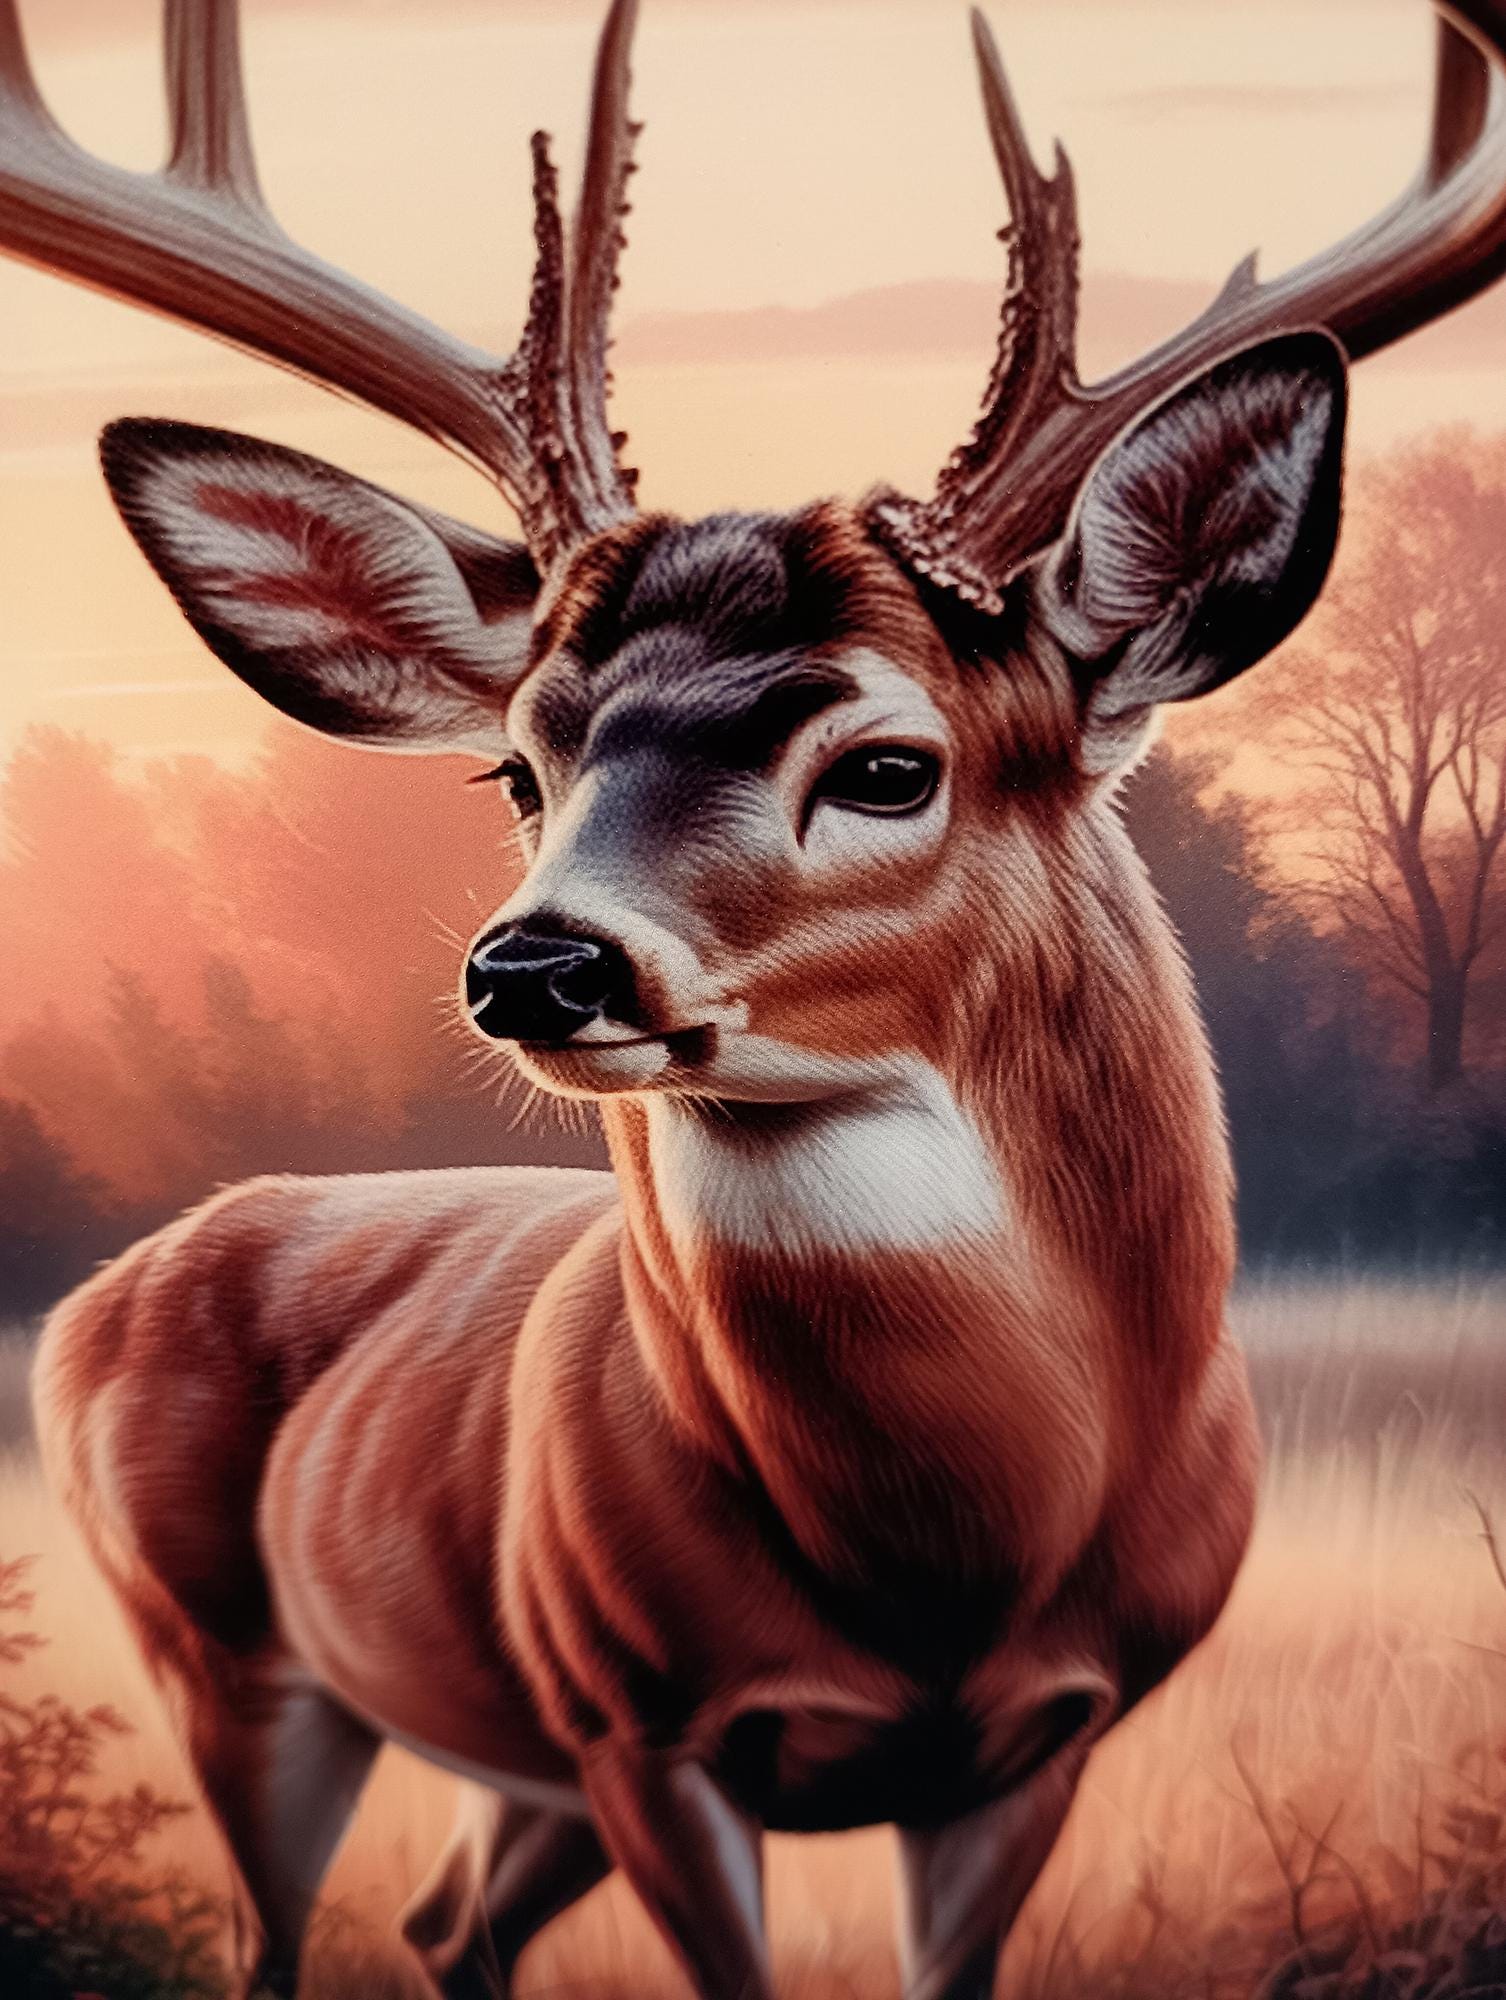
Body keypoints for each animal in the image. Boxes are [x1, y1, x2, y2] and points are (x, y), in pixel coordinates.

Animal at [8, 0, 1506, 1995]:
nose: (535, 964)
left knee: (444, 1924)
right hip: (225, 1649)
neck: (939, 1572)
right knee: (287, 1930)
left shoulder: (1049, 1740)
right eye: (517, 766)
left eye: (884, 765)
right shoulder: (638, 1725)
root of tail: (103, 1292)